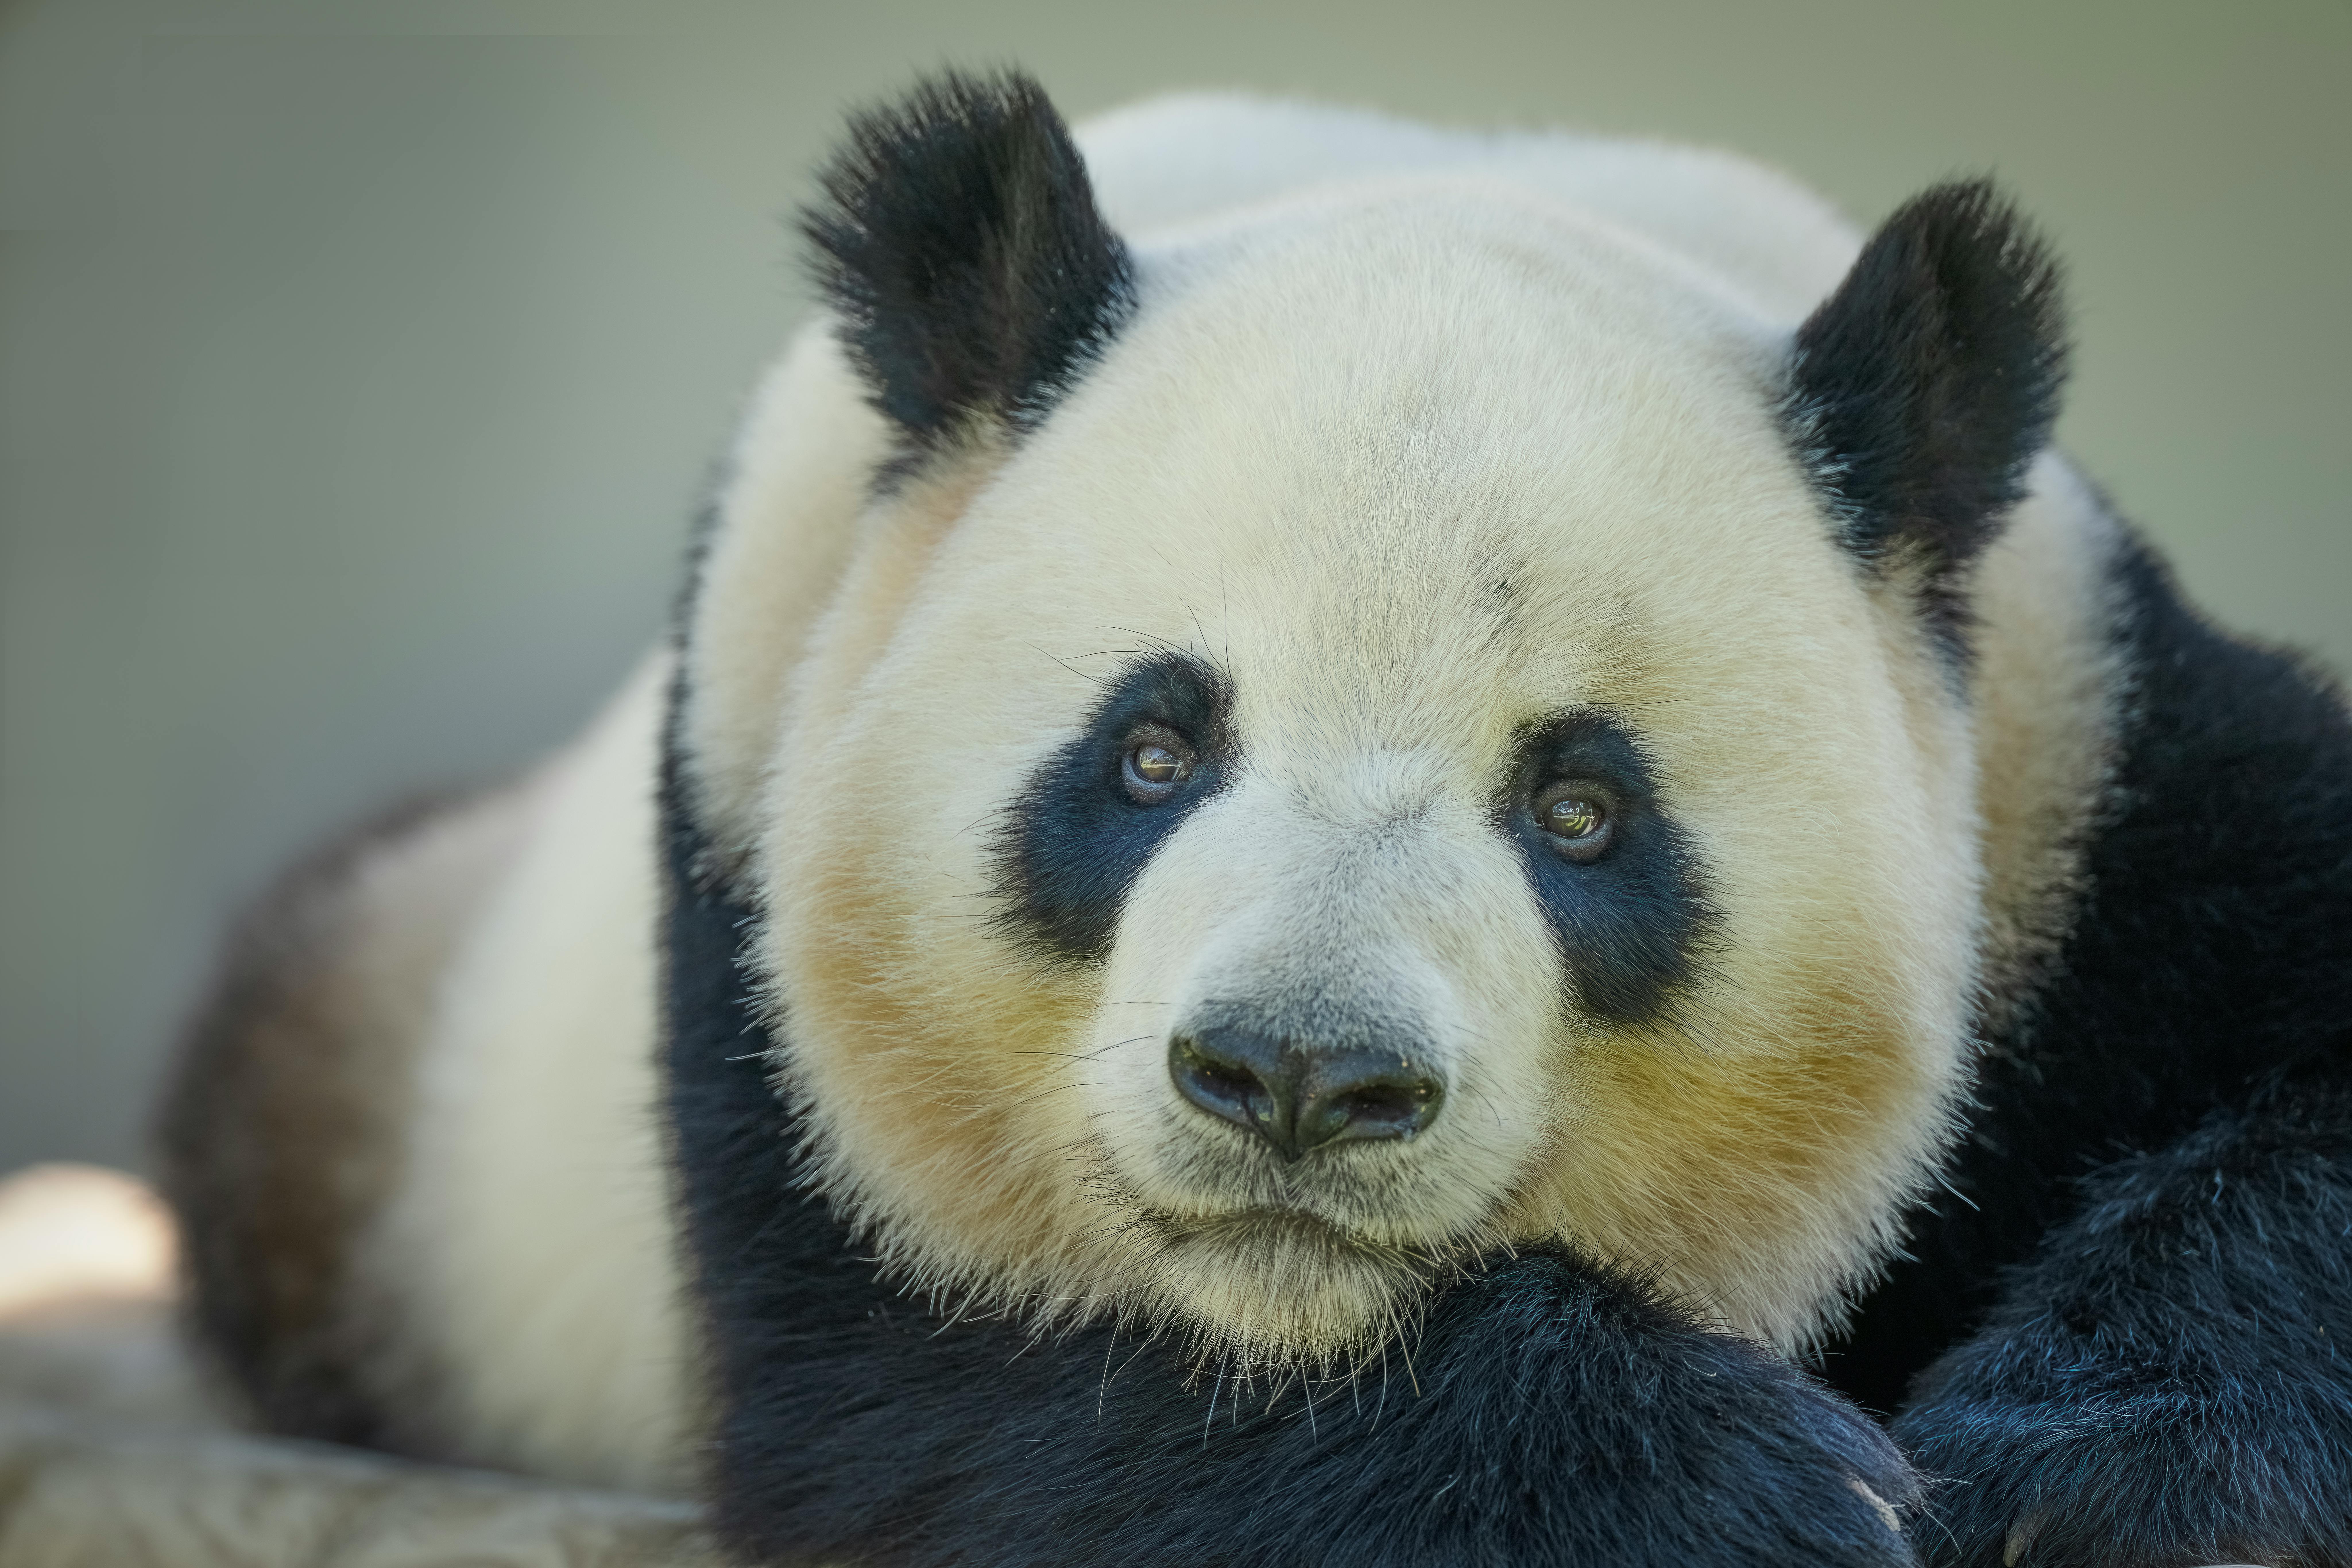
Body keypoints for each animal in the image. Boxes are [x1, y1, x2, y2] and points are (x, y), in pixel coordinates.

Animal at [157, 70, 2352, 1568]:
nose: (1298, 1078)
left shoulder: (2096, 748)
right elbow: (939, 1407)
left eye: (1581, 807)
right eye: (1152, 753)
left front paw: (2088, 1467)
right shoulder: (749, 823)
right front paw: (1736, 1486)